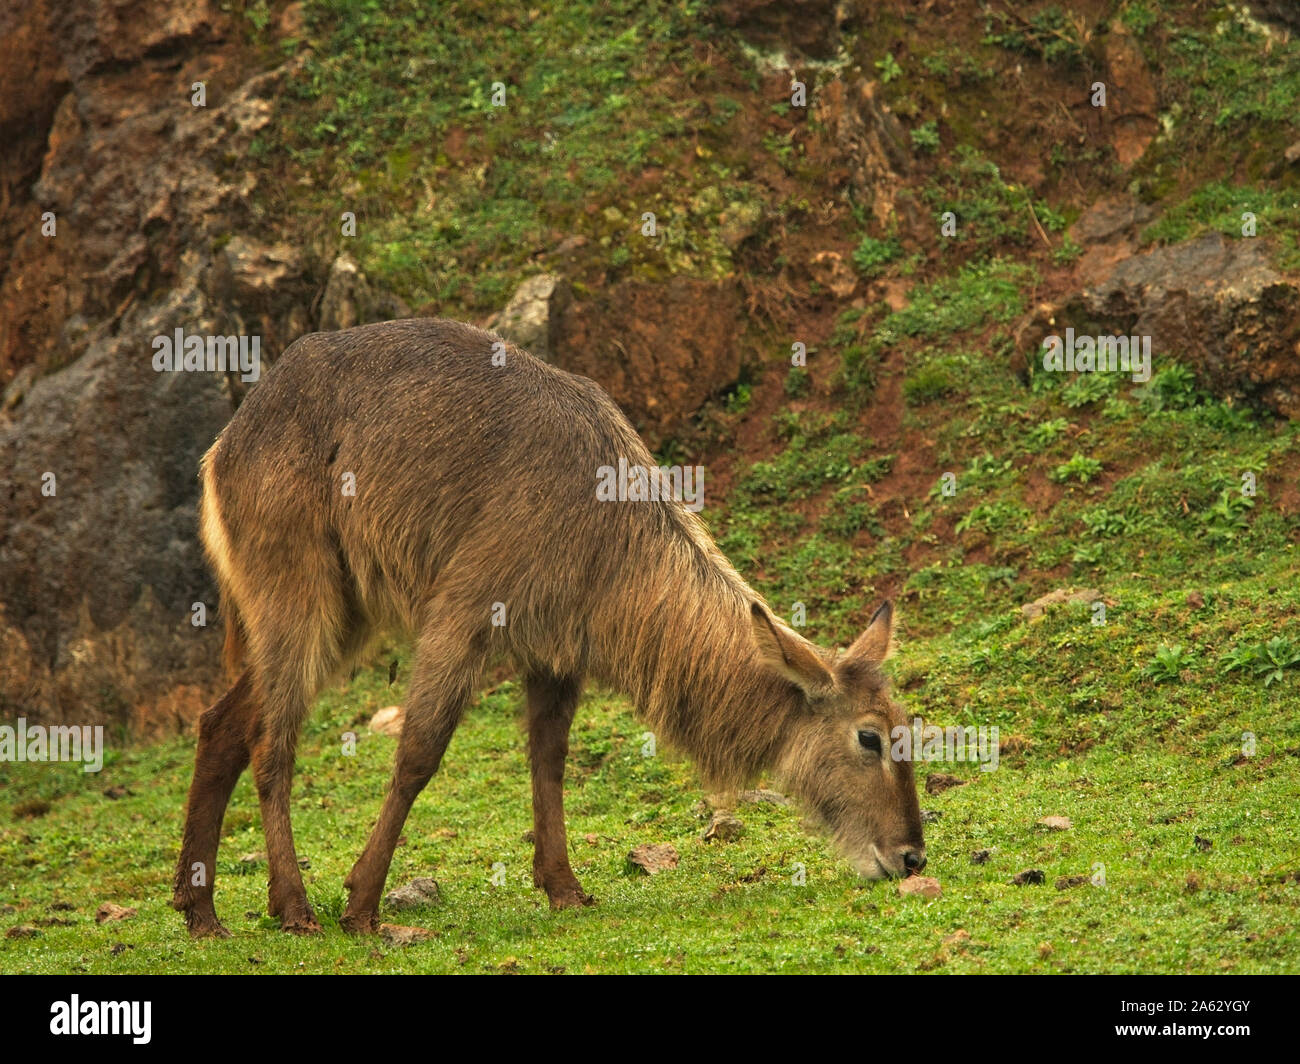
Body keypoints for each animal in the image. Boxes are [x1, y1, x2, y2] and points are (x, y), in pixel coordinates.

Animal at [172, 318, 926, 937]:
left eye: (905, 730)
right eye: (869, 737)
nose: (913, 855)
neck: (607, 528)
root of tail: (225, 444)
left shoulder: (557, 656)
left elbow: (549, 759)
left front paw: (563, 887)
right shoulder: (462, 615)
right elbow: (419, 754)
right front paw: (361, 904)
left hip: (343, 613)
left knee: (222, 723)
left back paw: (200, 910)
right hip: (298, 595)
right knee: (272, 741)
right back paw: (294, 907)